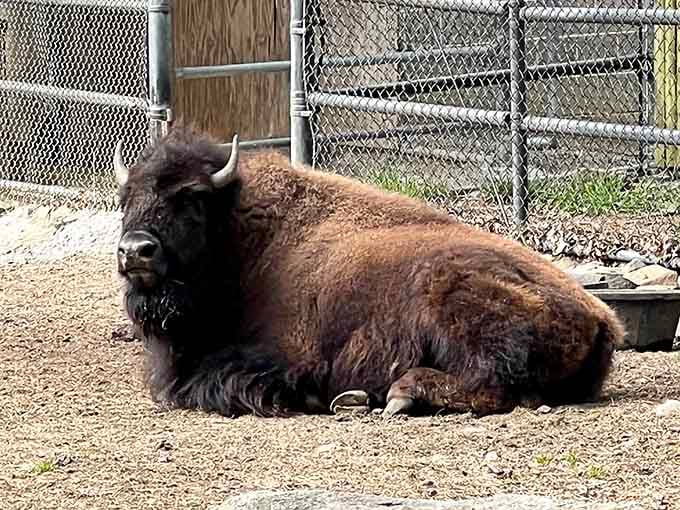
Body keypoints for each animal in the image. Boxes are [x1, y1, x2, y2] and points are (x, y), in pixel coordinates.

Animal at [113, 126, 624, 419]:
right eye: (125, 199)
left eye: (193, 199)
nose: (136, 252)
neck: (242, 236)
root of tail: (601, 317)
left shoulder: (285, 356)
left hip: (452, 295)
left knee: (493, 386)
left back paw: (400, 396)